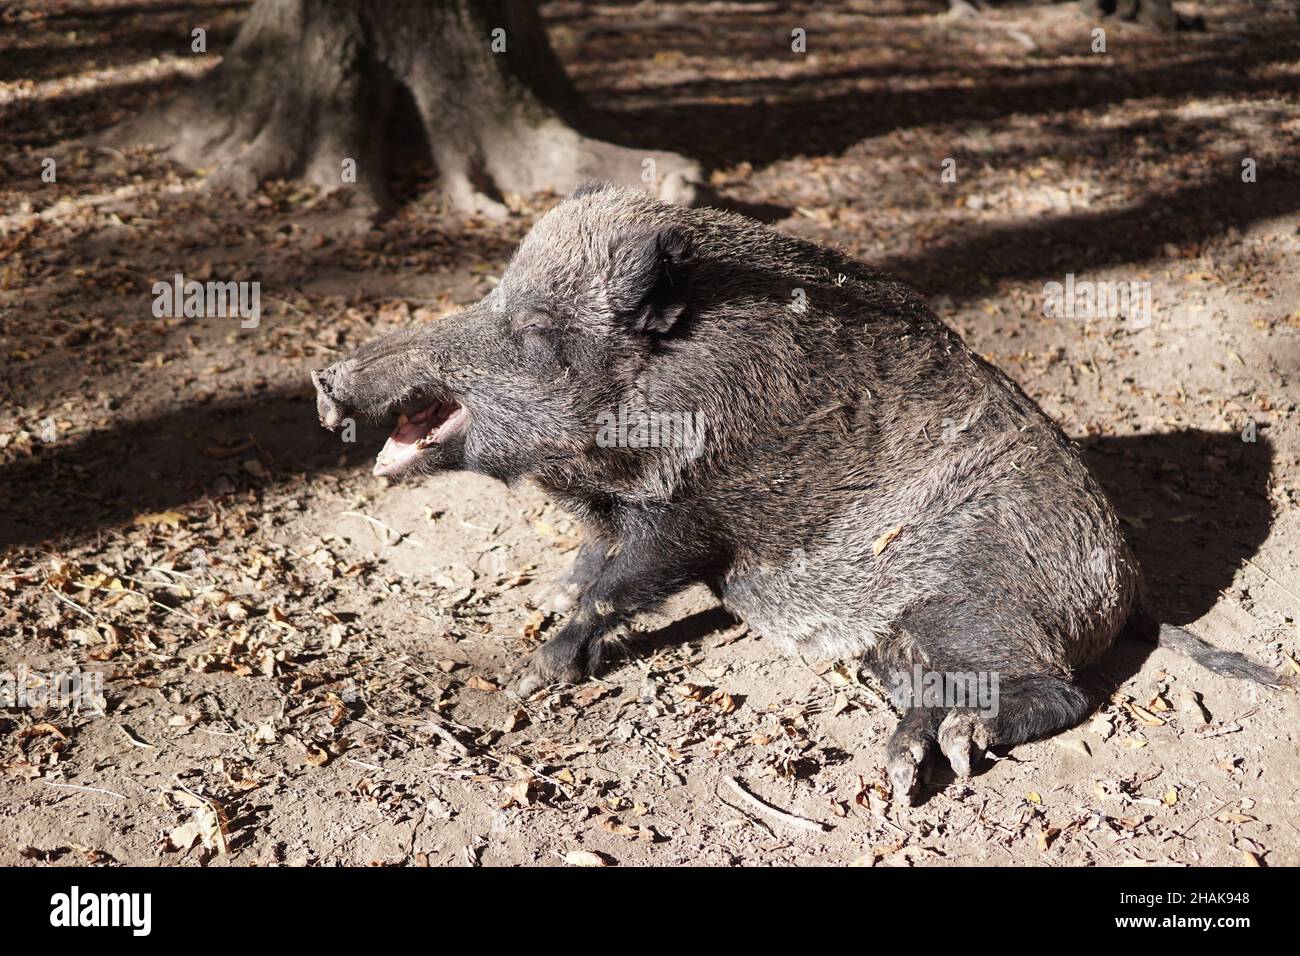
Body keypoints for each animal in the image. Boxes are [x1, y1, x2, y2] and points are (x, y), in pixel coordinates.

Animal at [312, 183, 1286, 802]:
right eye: (492, 297)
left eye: (536, 327)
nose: (326, 377)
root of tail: (1128, 586)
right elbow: (591, 563)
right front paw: (543, 602)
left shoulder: (690, 514)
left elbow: (623, 584)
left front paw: (533, 675)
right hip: (901, 638)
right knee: (934, 689)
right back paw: (904, 759)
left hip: (975, 601)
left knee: (1056, 693)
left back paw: (937, 757)